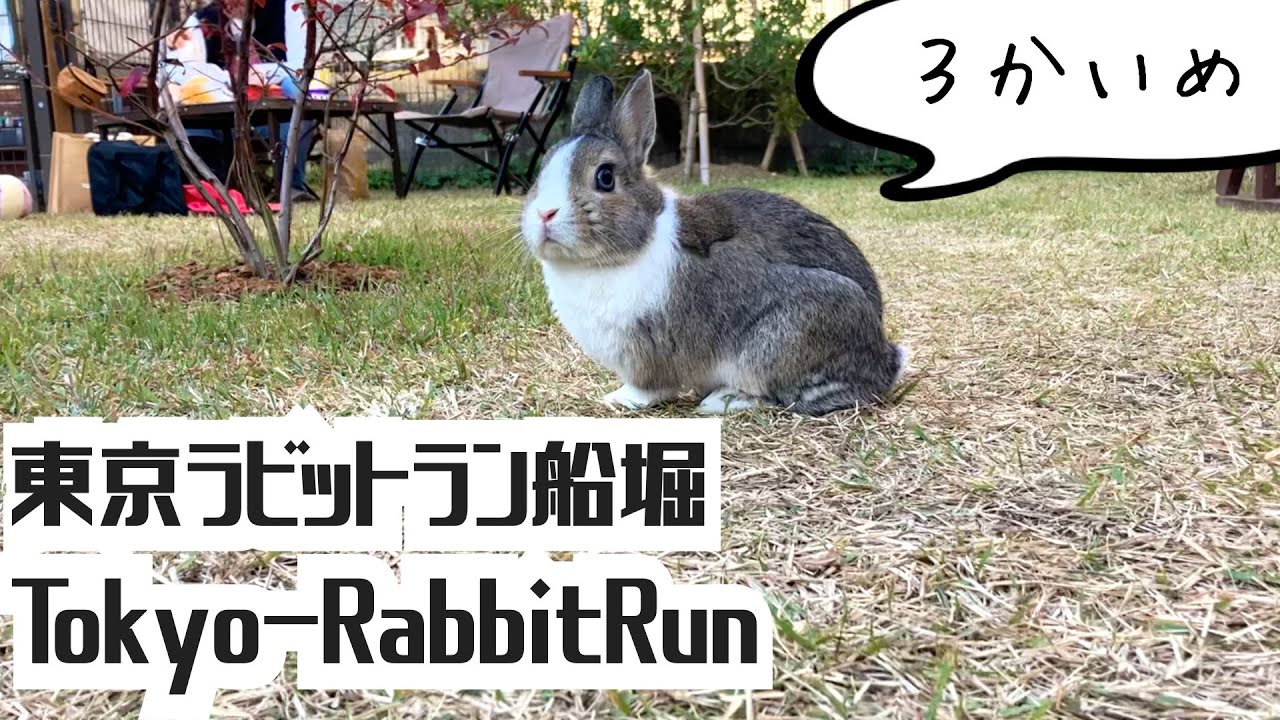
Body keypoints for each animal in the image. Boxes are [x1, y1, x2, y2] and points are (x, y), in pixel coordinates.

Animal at [520, 70, 909, 416]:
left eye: (605, 177)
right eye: (540, 172)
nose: (544, 214)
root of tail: (884, 360)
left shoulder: (648, 351)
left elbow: (648, 388)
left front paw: (618, 399)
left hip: (781, 341)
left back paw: (722, 401)